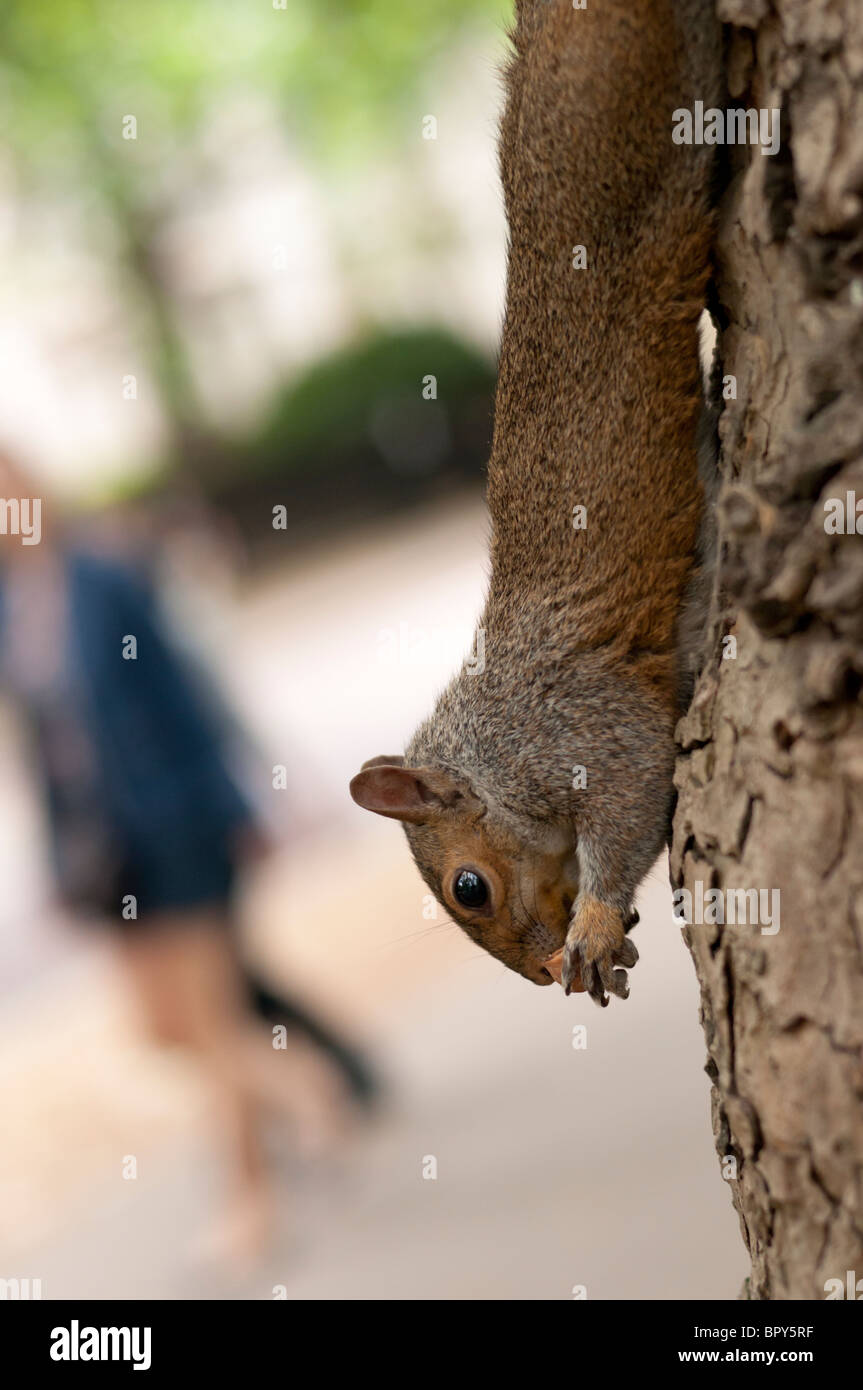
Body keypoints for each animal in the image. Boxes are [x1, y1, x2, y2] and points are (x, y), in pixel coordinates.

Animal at [350, 0, 723, 1006]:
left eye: (466, 888)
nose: (540, 970)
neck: (495, 737)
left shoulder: (584, 728)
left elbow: (635, 795)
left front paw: (594, 924)